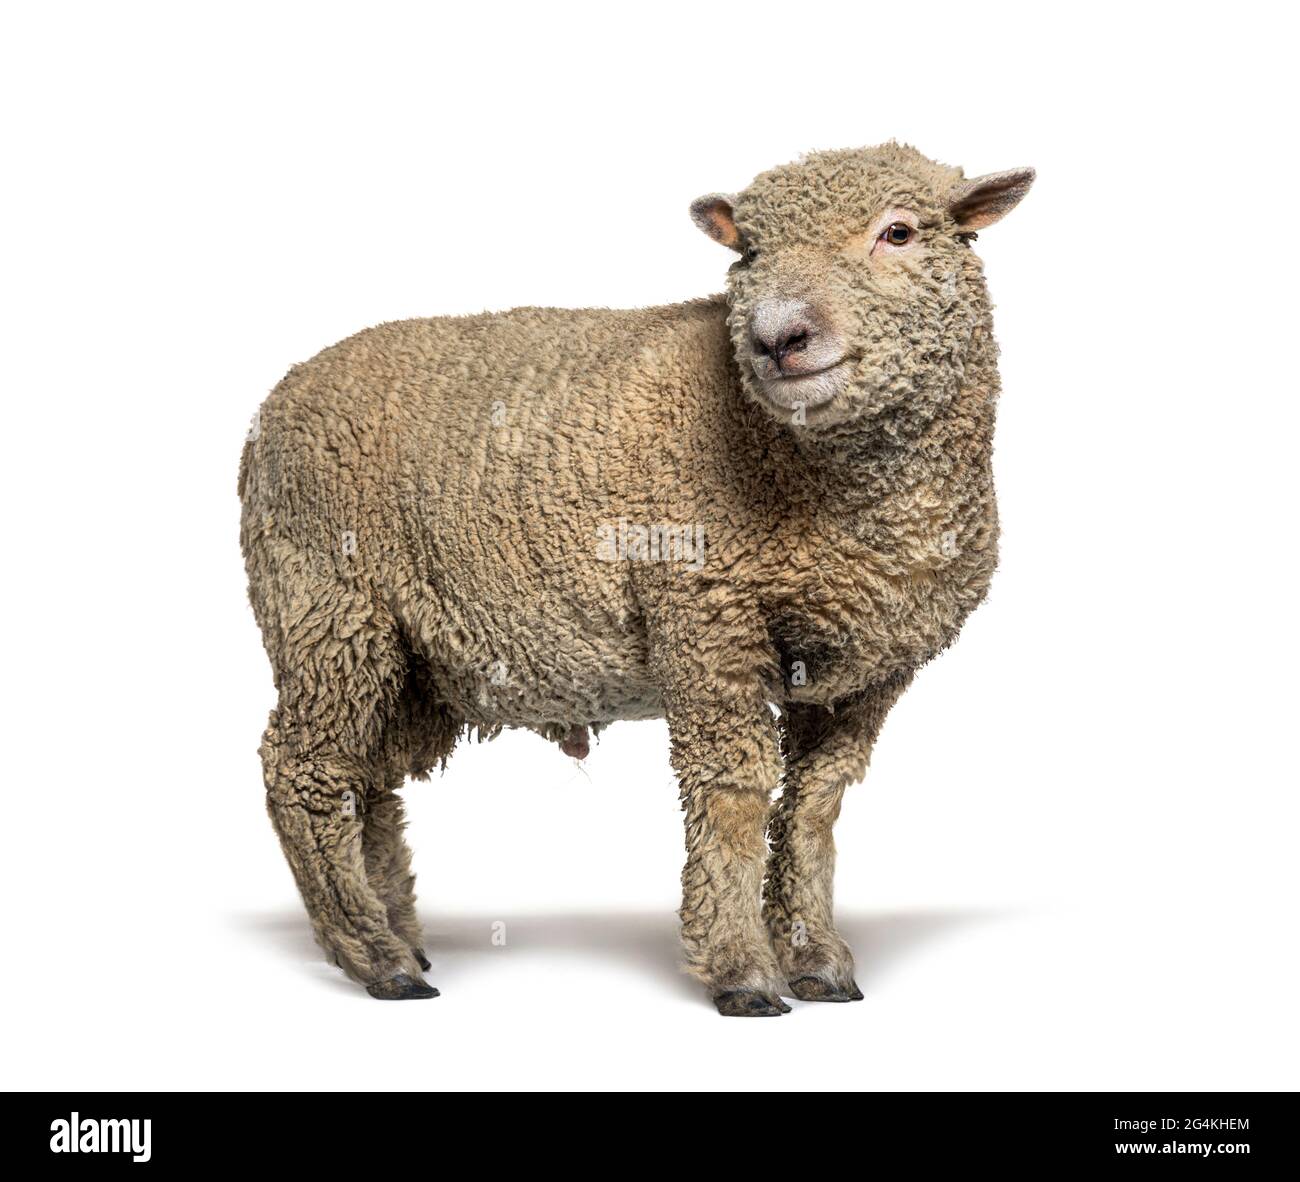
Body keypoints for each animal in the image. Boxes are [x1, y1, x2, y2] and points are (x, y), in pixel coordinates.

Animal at [239, 142, 1033, 1015]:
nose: (777, 337)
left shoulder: (864, 671)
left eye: (898, 232)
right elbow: (733, 789)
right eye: (748, 252)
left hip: (412, 658)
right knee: (304, 770)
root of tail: (274, 404)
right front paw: (742, 971)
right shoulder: (705, 617)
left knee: (369, 783)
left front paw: (817, 959)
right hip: (327, 606)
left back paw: (398, 937)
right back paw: (372, 954)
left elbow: (816, 803)